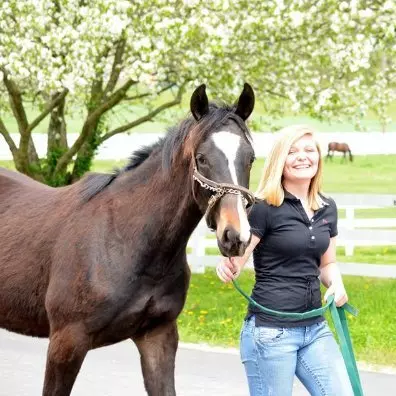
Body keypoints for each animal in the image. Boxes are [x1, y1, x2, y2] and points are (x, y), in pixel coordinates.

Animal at [0, 82, 256, 394]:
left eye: (250, 158)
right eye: (202, 158)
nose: (236, 236)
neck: (125, 240)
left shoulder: (158, 337)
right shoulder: (66, 341)